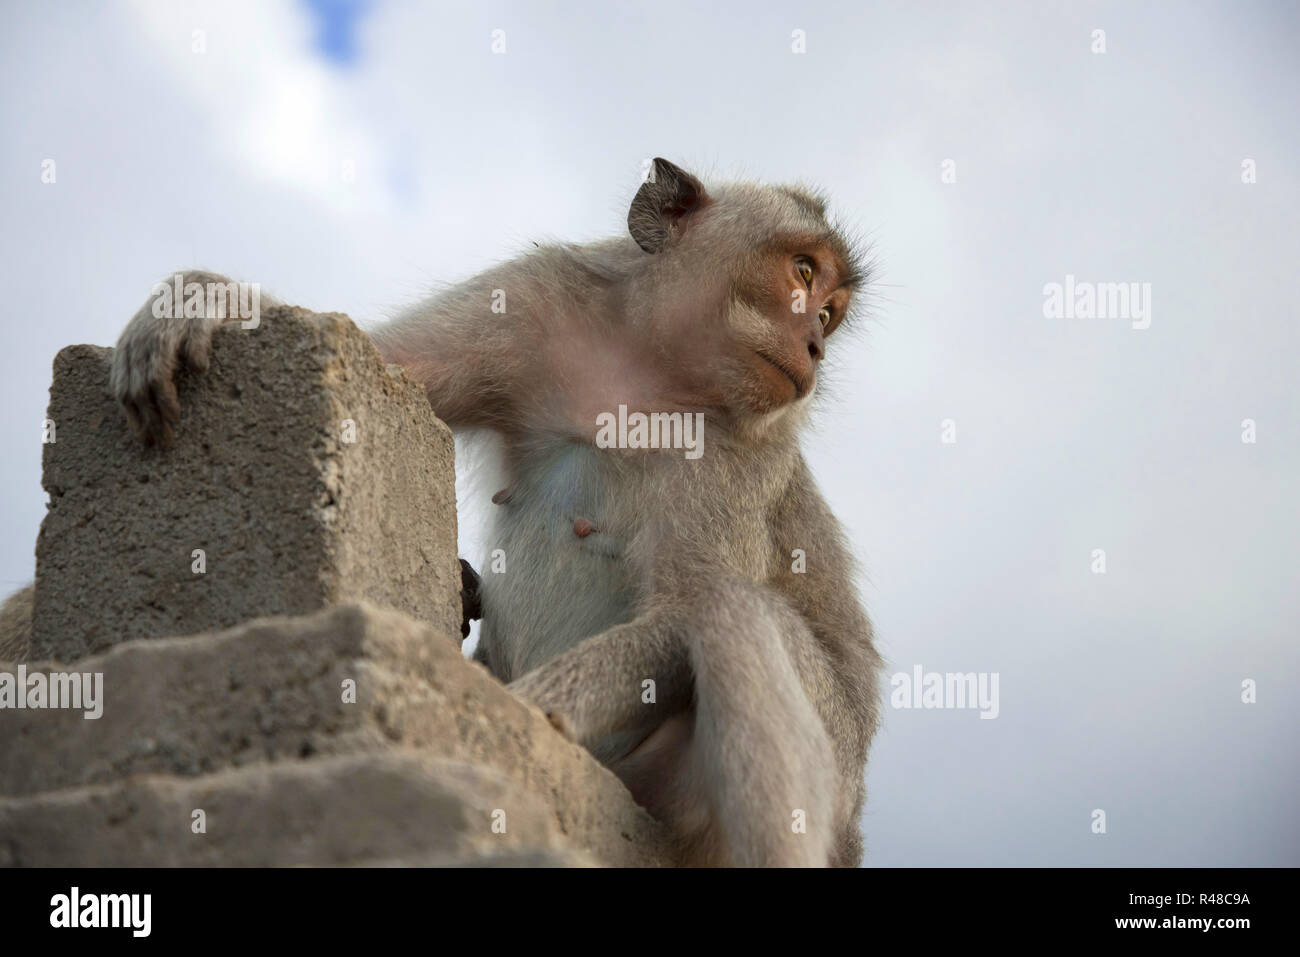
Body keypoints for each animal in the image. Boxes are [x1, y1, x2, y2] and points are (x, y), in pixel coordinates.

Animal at [40, 158, 885, 866]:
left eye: (832, 311)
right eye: (803, 272)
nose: (814, 342)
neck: (652, 378)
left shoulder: (747, 453)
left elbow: (685, 607)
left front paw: (522, 709)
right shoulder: (535, 299)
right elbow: (387, 363)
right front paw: (207, 298)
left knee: (738, 616)